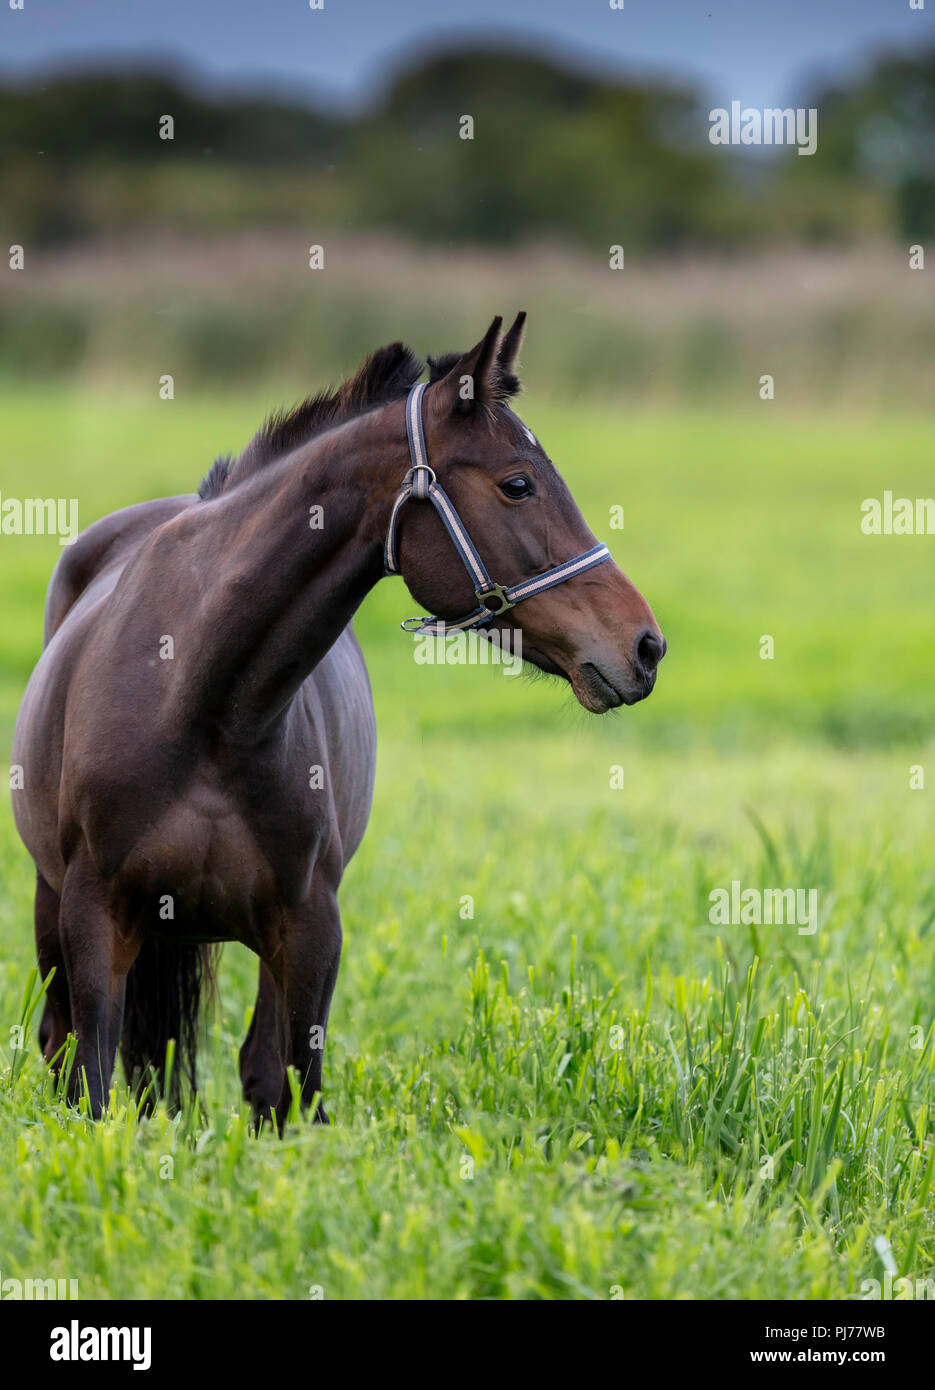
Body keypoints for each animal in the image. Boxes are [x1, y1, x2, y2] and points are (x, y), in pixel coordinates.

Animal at [11, 313, 665, 1127]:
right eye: (518, 484)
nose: (644, 647)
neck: (202, 708)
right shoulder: (95, 916)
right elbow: (92, 1083)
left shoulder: (310, 929)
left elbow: (288, 1085)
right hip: (53, 908)